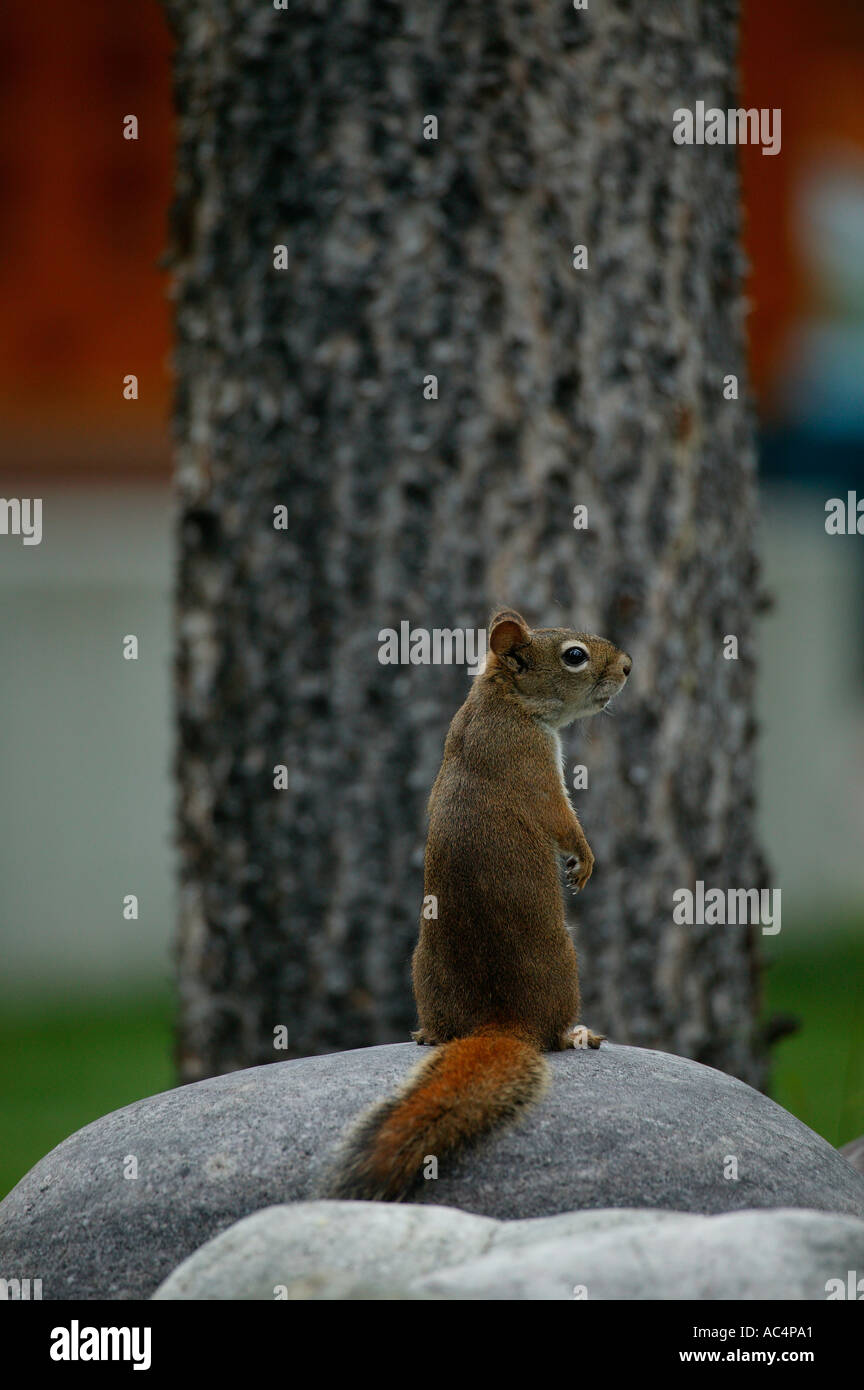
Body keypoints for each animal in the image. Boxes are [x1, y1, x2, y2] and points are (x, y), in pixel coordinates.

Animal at [323, 607, 631, 1202]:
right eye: (575, 656)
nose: (628, 666)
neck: (502, 700)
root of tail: (499, 1023)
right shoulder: (533, 764)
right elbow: (563, 821)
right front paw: (584, 862)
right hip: (567, 964)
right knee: (554, 1036)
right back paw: (576, 1034)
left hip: (423, 968)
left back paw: (427, 1033)